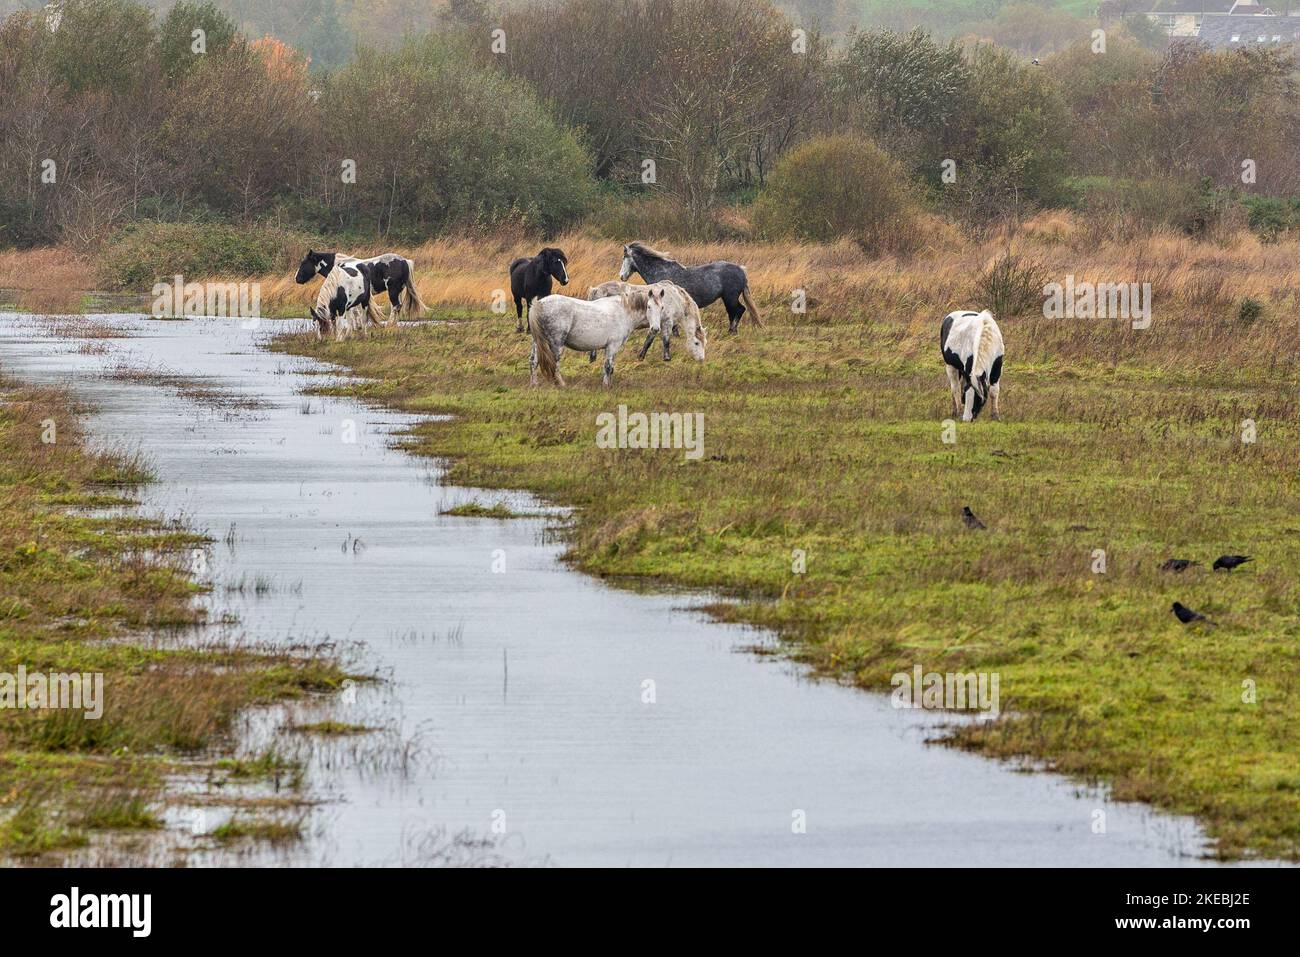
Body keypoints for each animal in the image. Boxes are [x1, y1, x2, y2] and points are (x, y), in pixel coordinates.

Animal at [295, 249, 426, 322]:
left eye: (304, 263)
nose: (296, 278)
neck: (339, 266)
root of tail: (405, 261)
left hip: (393, 290)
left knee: (395, 306)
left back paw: (389, 326)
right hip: (397, 291)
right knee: (397, 308)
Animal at [529, 282, 704, 387]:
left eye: (662, 308)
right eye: (648, 307)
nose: (655, 328)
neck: (623, 310)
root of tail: (538, 304)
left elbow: (611, 367)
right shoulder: (612, 346)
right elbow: (607, 366)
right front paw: (606, 386)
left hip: (538, 343)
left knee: (533, 361)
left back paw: (534, 384)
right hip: (556, 345)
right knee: (555, 364)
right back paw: (560, 384)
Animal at [618, 241, 762, 334]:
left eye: (625, 256)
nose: (622, 276)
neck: (660, 271)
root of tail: (741, 270)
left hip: (730, 298)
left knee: (737, 311)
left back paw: (731, 331)